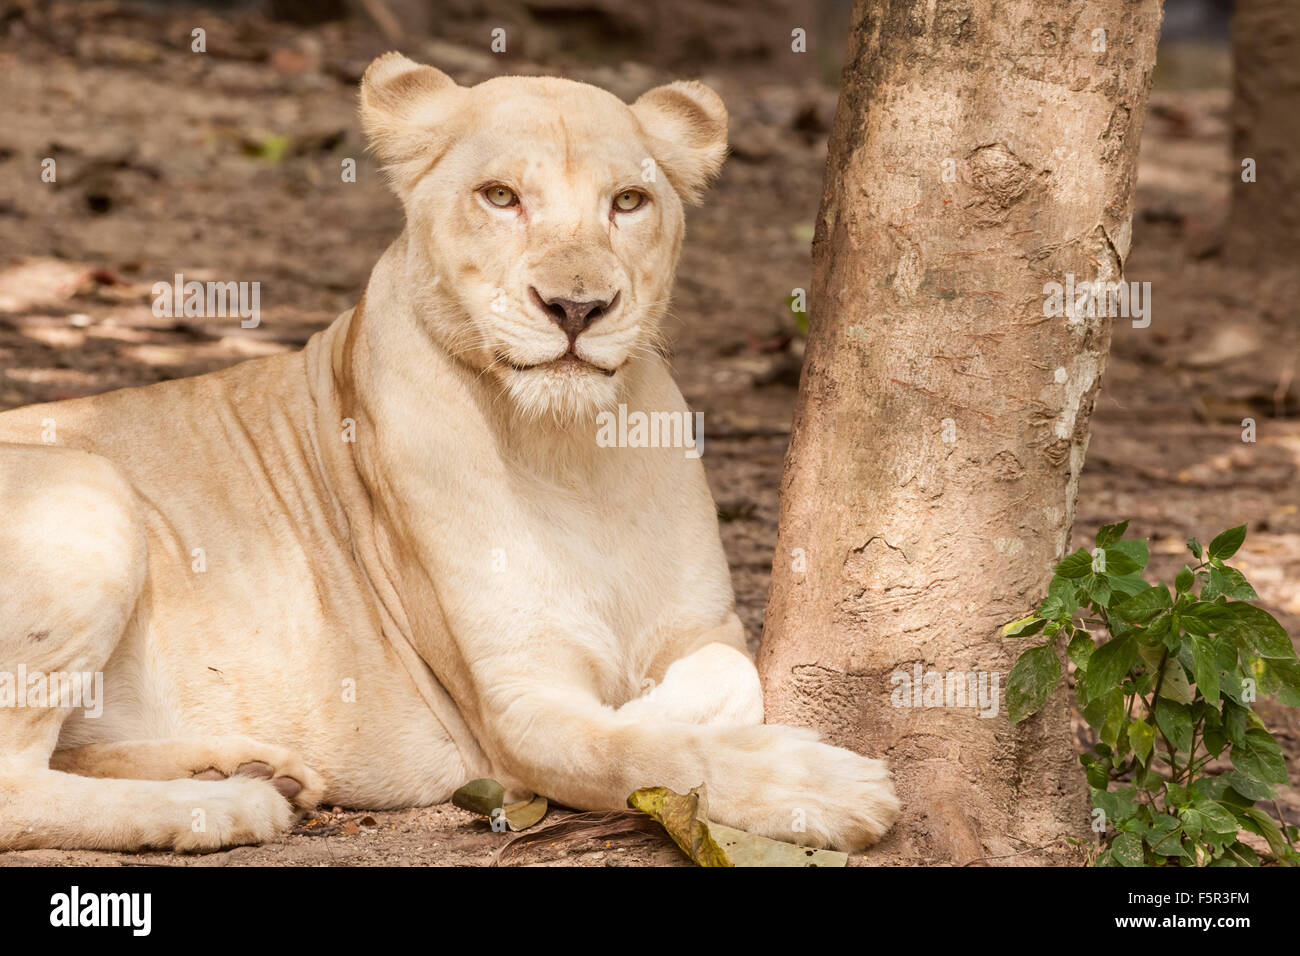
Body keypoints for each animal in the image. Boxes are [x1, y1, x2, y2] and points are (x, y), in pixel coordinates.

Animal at [0, 54, 899, 854]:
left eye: (629, 201)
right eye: (500, 197)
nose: (578, 307)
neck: (570, 451)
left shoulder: (706, 625)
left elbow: (728, 680)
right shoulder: (513, 701)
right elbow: (642, 750)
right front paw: (824, 787)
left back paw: (247, 772)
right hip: (84, 484)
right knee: (16, 788)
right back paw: (229, 809)